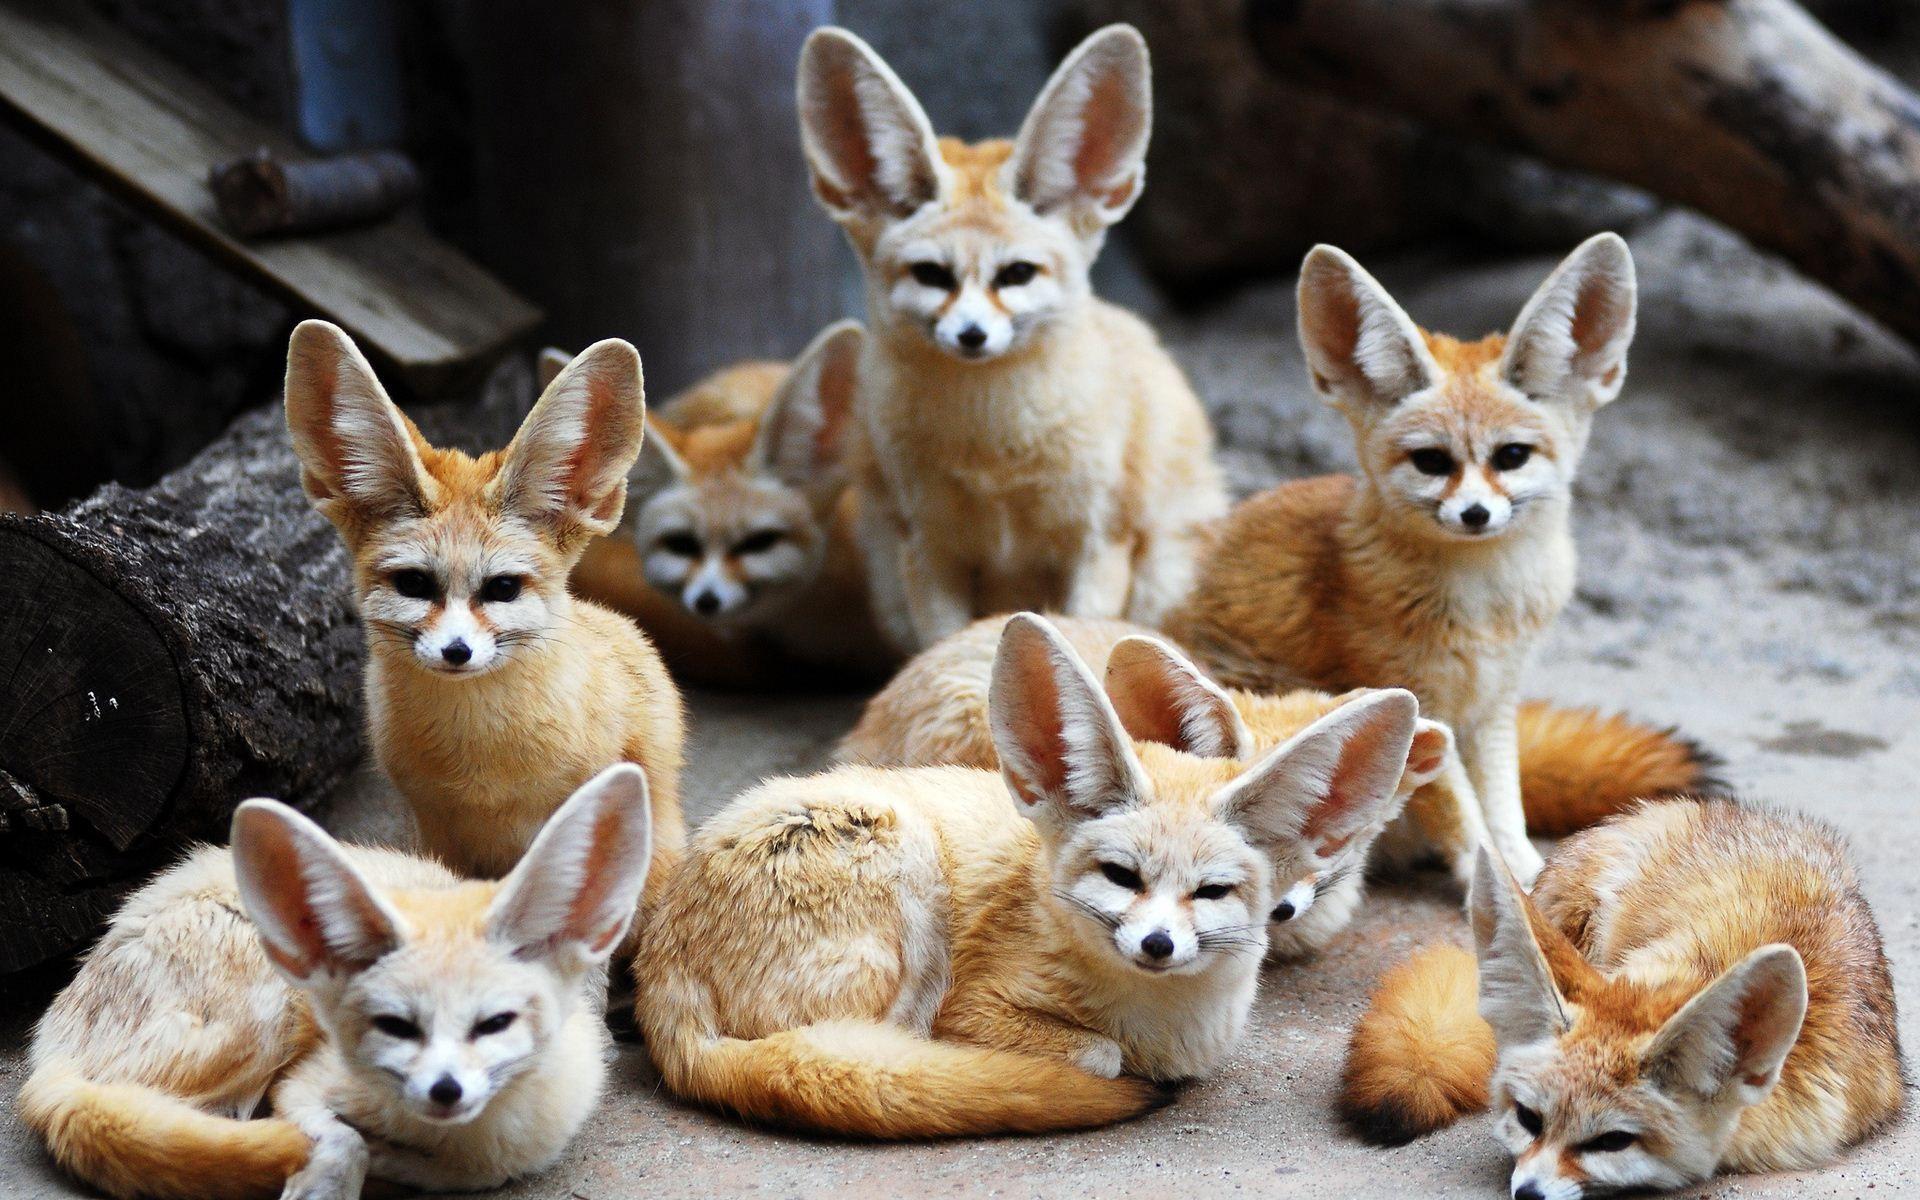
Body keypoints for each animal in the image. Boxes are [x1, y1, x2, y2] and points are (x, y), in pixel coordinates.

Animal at [20, 764, 656, 1200]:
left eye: (494, 1023)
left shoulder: (482, 1162)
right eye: (395, 1025)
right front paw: (326, 1176)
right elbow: (338, 1140)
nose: (445, 1090)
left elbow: (417, 1165)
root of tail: (47, 1053)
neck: (451, 1136)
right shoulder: (302, 1083)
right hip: (264, 1021)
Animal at [636, 614, 1422, 1137]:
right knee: (858, 1062)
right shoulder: (970, 1006)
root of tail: (658, 970)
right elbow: (1098, 1056)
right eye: (1120, 875)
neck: (1159, 1021)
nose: (1158, 945)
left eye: (1212, 892)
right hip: (907, 875)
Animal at [797, 24, 1227, 653]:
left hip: (1160, 571)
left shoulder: (1100, 544)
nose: (972, 335)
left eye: (1017, 274)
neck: (993, 449)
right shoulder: (928, 548)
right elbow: (943, 644)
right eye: (932, 275)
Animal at [1166, 234, 1651, 885]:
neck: (1485, 607)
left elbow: (1505, 803)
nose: (1475, 514)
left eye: (1512, 456)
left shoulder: (1495, 703)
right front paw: (1488, 878)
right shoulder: (1419, 704)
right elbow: (1462, 814)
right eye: (1431, 462)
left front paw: (1525, 868)